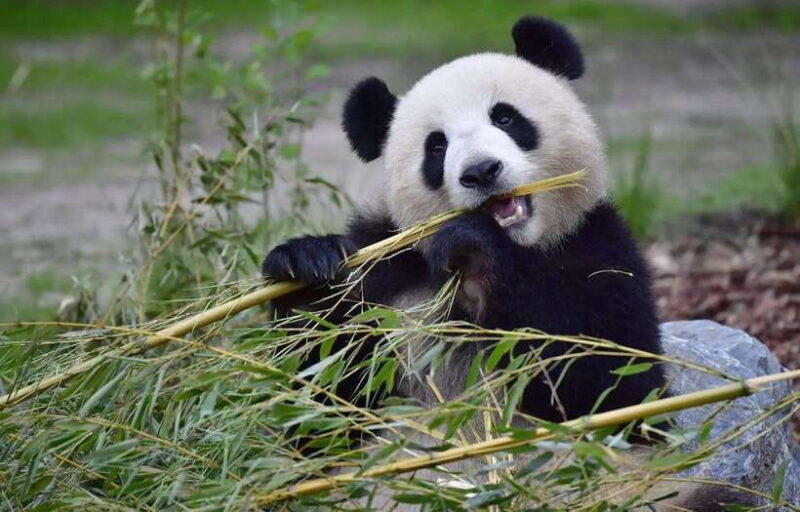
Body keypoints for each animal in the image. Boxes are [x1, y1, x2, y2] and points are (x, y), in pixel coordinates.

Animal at [262, 16, 755, 511]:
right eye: (436, 146)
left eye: (505, 117)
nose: (481, 171)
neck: (522, 246)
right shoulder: (386, 272)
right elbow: (318, 412)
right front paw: (306, 266)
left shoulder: (602, 251)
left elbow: (616, 388)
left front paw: (475, 245)